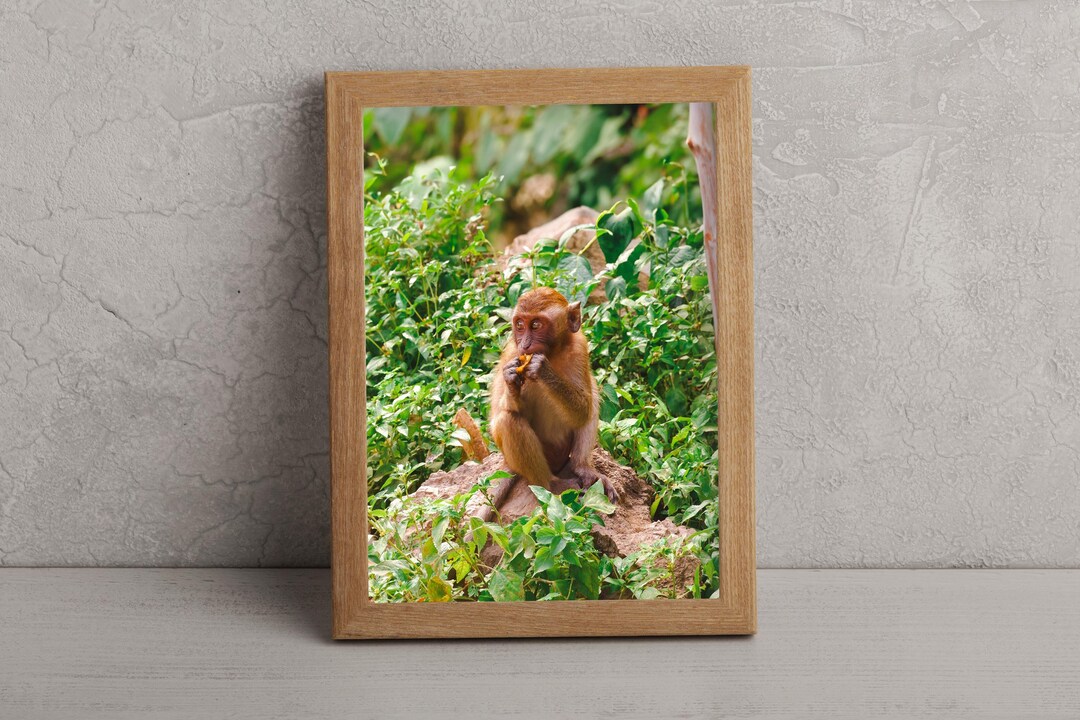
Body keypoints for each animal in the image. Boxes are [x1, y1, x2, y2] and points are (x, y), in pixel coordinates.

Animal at [483, 287, 618, 522]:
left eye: (536, 325)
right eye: (520, 325)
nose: (525, 344)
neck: (553, 353)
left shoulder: (580, 347)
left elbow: (583, 409)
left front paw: (542, 370)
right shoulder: (511, 354)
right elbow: (501, 414)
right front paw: (511, 380)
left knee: (592, 395)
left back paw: (584, 470)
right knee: (509, 419)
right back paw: (552, 485)